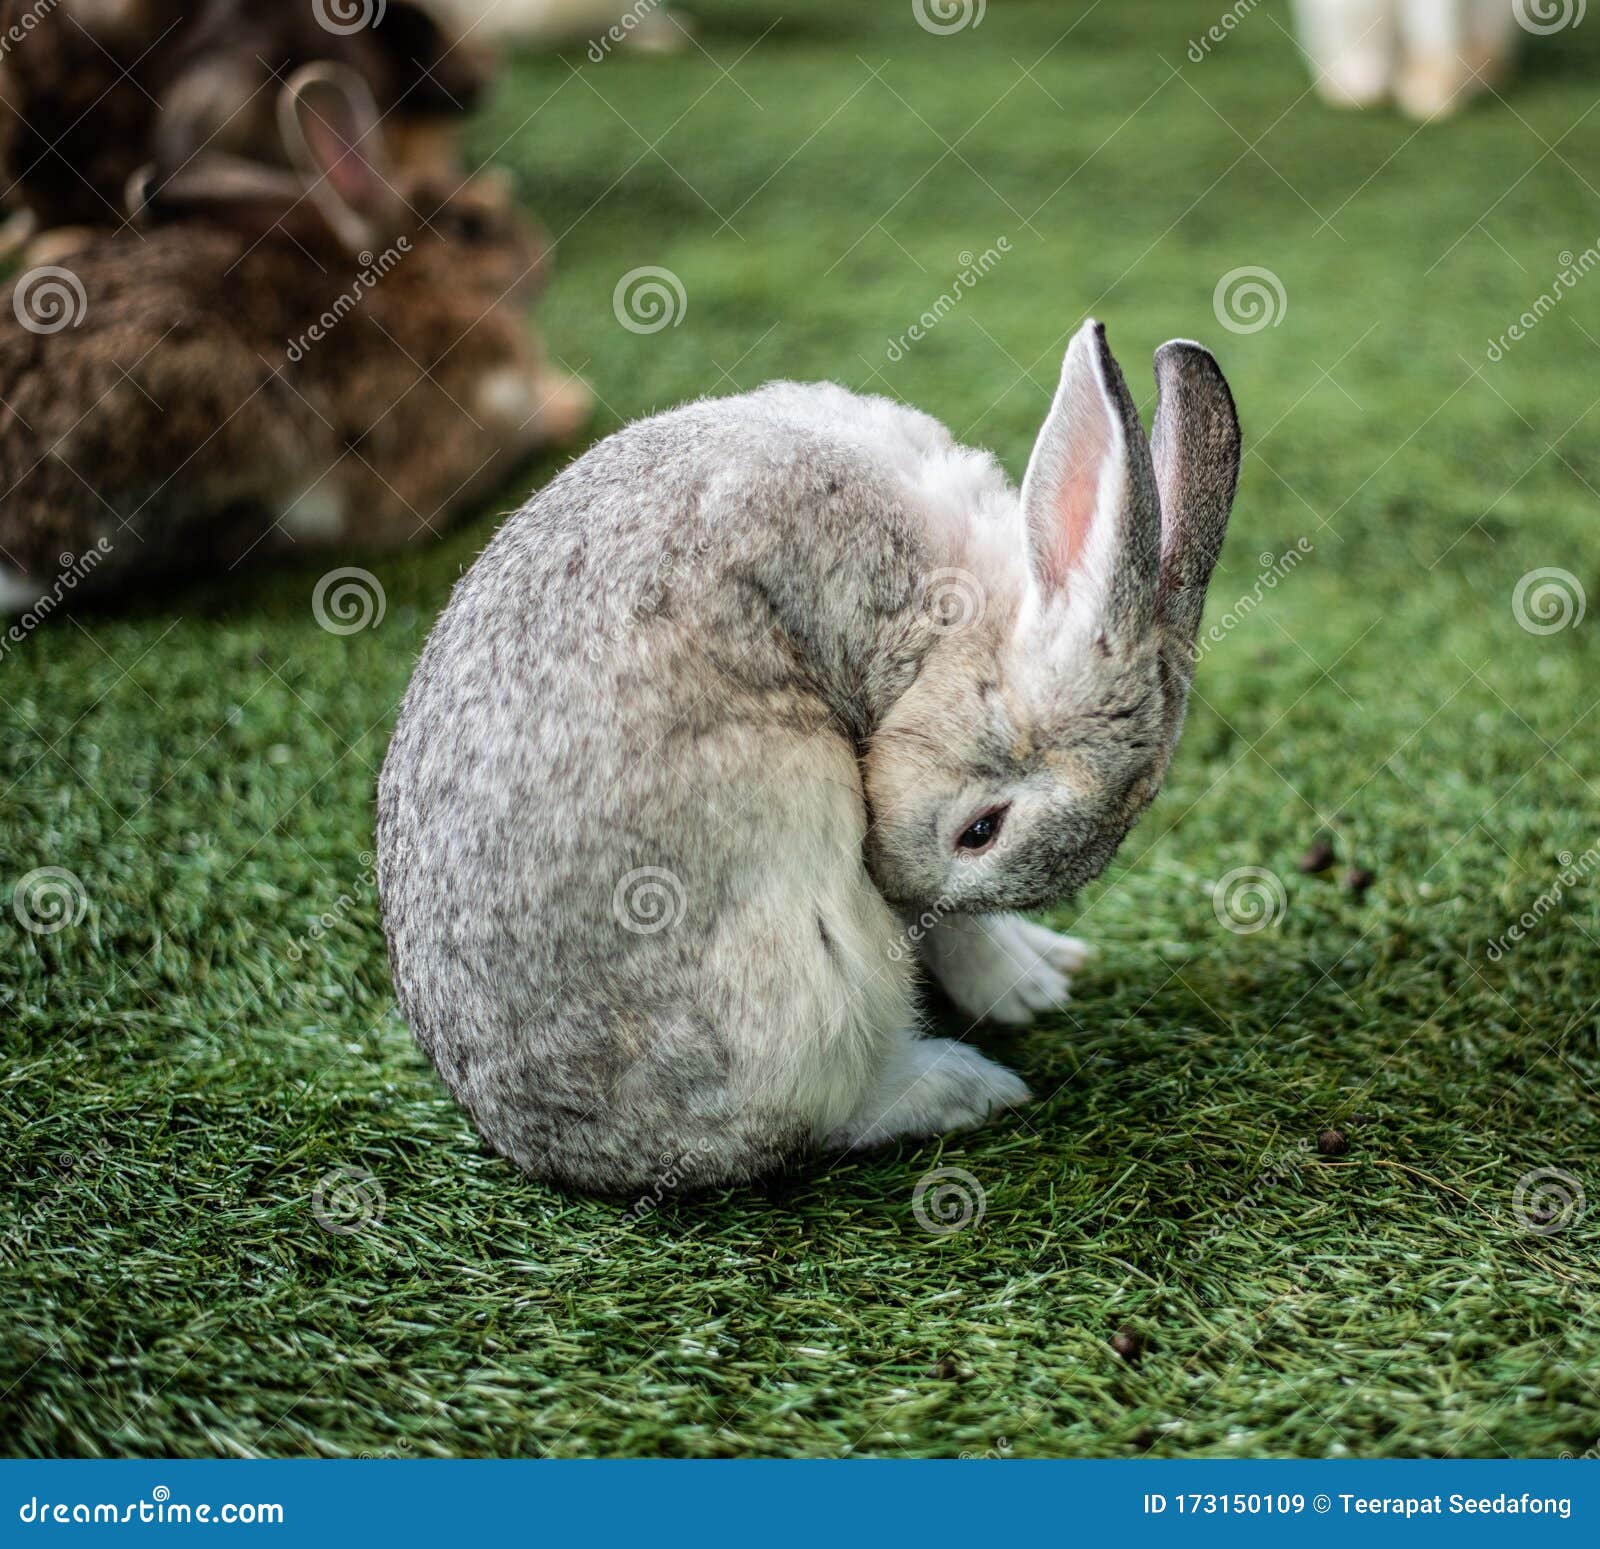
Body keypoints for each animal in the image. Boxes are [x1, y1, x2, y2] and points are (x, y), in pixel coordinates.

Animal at [376, 319, 1241, 1197]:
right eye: (982, 830)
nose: (896, 881)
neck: (954, 625)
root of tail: (563, 1150)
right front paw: (1018, 989)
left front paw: (1037, 979)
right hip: (808, 922)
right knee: (828, 1114)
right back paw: (969, 1086)